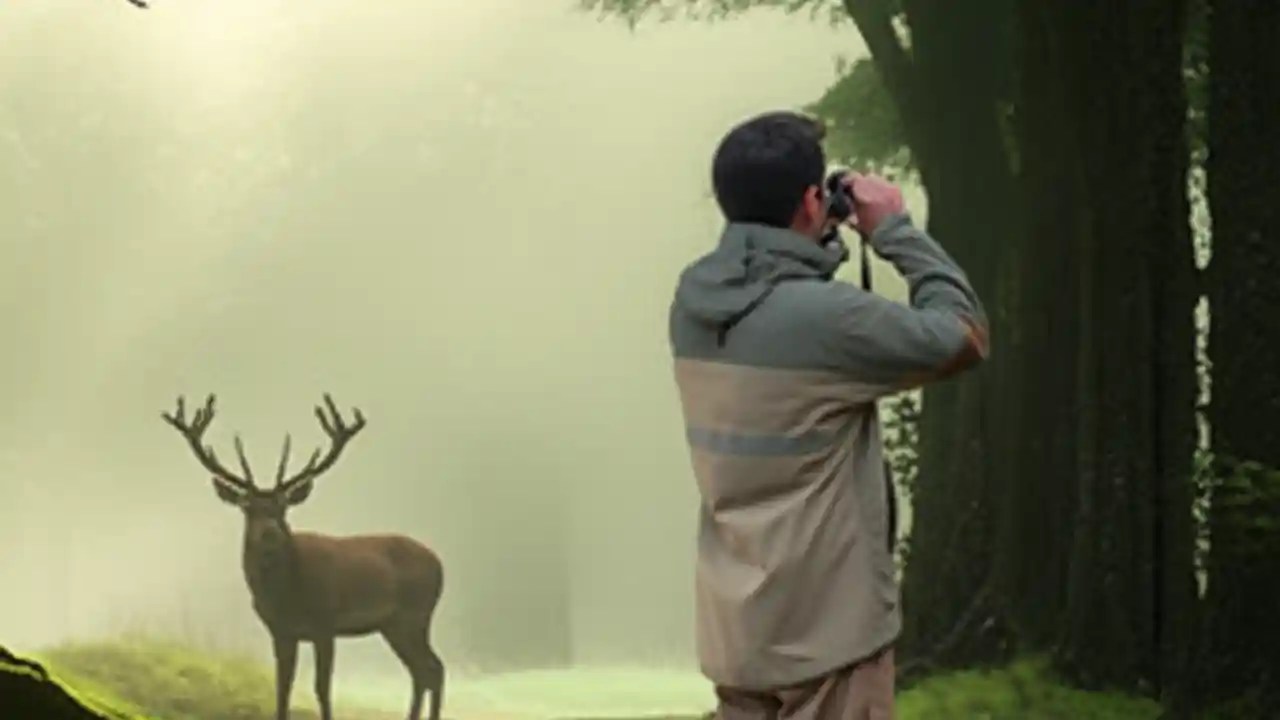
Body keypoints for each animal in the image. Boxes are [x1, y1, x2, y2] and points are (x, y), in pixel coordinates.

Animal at [161, 394, 445, 720]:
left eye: (283, 507)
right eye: (247, 507)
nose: (270, 533)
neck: (286, 596)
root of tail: (440, 564)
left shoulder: (325, 623)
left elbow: (322, 688)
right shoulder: (280, 630)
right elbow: (283, 686)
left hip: (415, 613)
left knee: (432, 668)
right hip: (393, 625)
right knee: (422, 670)